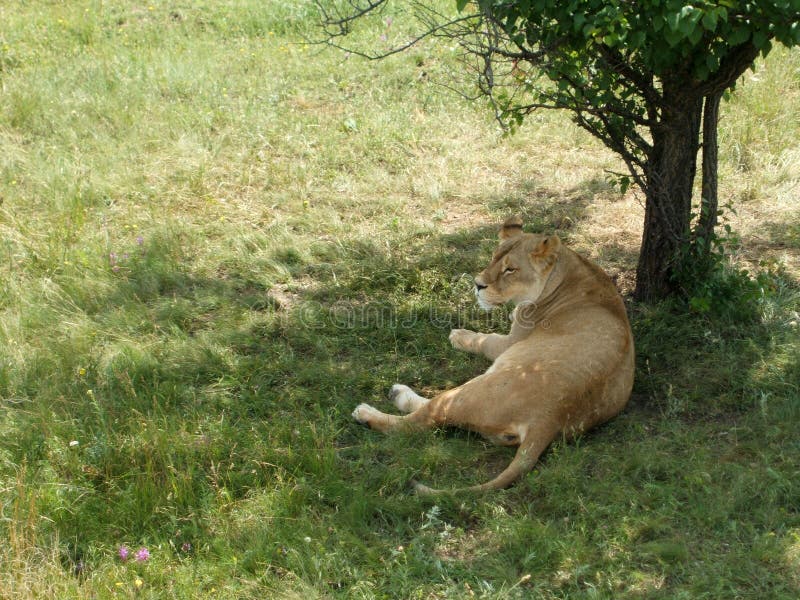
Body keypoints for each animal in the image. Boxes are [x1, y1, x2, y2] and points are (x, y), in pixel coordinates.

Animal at [352, 216, 635, 493]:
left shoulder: (512, 340)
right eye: (493, 258)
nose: (477, 285)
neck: (568, 271)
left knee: (417, 422)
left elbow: (486, 340)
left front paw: (459, 335)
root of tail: (549, 418)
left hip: (477, 388)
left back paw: (373, 409)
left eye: (510, 270)